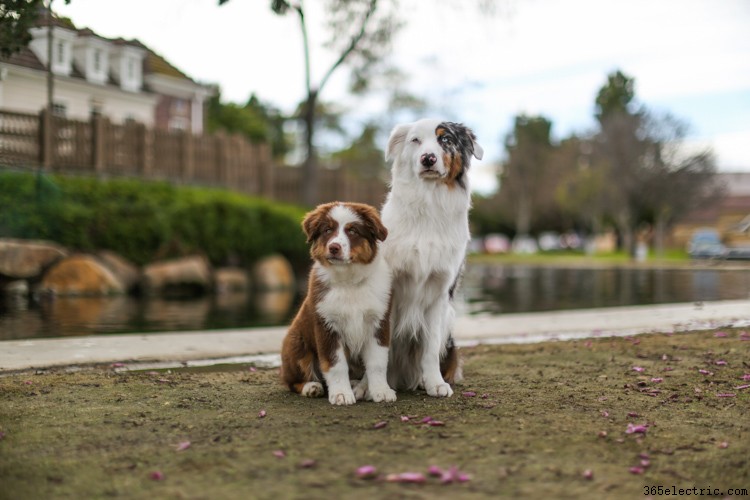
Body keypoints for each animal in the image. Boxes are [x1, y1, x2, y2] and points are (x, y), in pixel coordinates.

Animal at [282, 201, 396, 404]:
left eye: (353, 231)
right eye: (327, 230)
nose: (334, 247)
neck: (349, 281)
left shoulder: (379, 323)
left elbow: (377, 362)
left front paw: (381, 391)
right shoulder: (327, 326)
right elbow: (335, 364)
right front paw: (341, 394)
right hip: (296, 344)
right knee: (290, 381)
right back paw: (311, 387)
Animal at [382, 118, 488, 398]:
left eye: (445, 139)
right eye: (415, 140)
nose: (428, 158)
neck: (427, 204)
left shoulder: (439, 291)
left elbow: (429, 347)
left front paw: (434, 383)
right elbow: (379, 348)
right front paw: (371, 386)